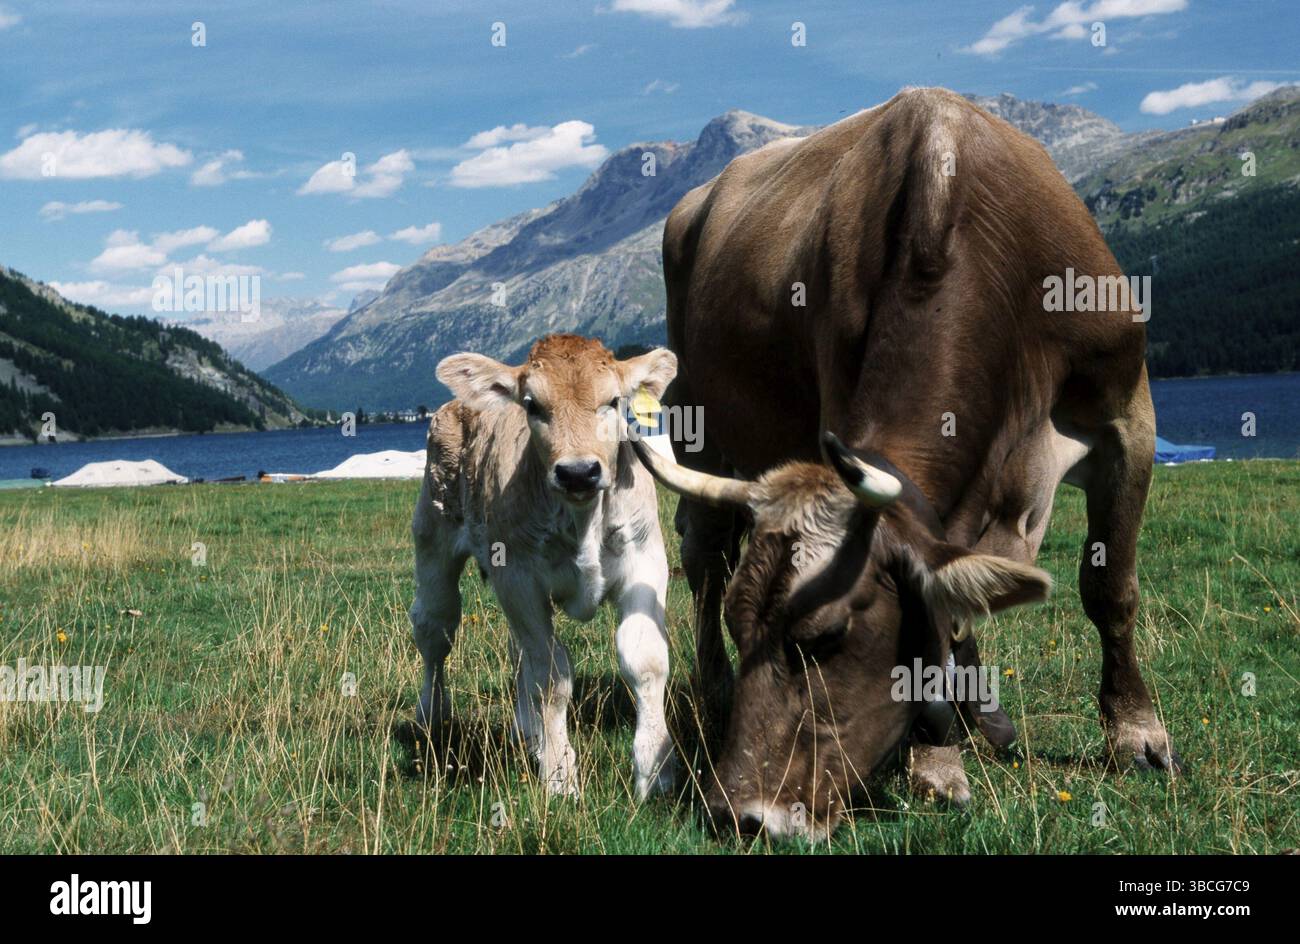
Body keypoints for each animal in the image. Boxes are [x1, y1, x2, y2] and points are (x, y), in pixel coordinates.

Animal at [410, 334, 678, 799]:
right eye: (533, 405)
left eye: (613, 401)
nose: (578, 473)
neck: (582, 520)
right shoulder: (519, 579)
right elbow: (551, 679)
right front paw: (559, 776)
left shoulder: (645, 562)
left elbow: (645, 661)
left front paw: (655, 770)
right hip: (433, 543)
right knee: (435, 631)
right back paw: (432, 715)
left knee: (516, 648)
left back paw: (529, 733)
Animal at [634, 87, 1180, 838]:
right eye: (748, 631)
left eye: (828, 636)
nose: (739, 813)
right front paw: (938, 764)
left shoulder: (1131, 418)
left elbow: (1109, 589)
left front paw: (1138, 734)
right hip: (699, 424)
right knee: (706, 554)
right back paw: (713, 685)